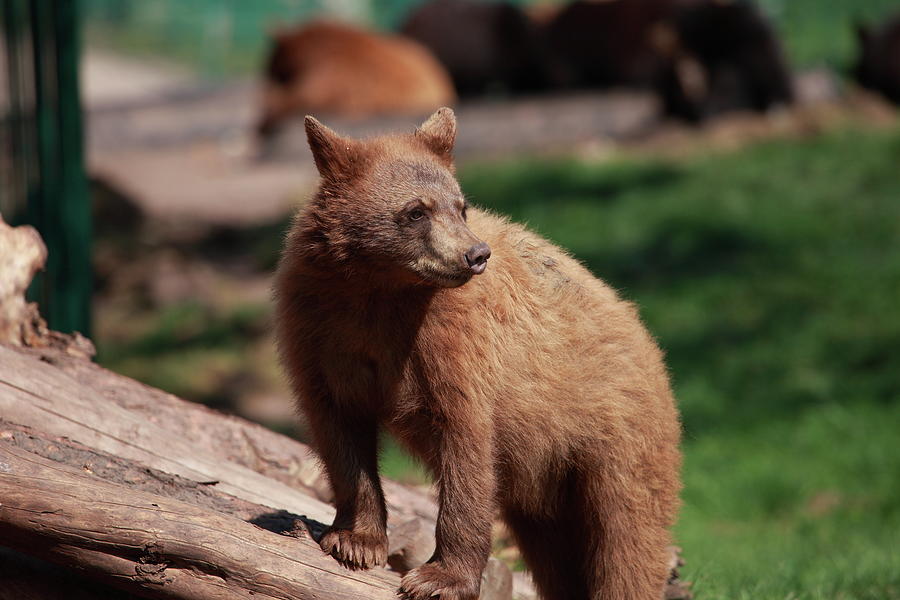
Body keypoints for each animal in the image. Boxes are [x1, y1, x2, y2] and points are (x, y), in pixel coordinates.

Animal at [273, 107, 682, 600]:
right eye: (416, 211)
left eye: (460, 205)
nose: (476, 254)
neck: (377, 290)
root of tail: (647, 337)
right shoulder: (319, 330)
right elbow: (338, 428)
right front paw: (356, 542)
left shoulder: (450, 343)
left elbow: (464, 442)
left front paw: (438, 578)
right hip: (550, 480)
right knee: (557, 550)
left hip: (614, 435)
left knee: (625, 536)